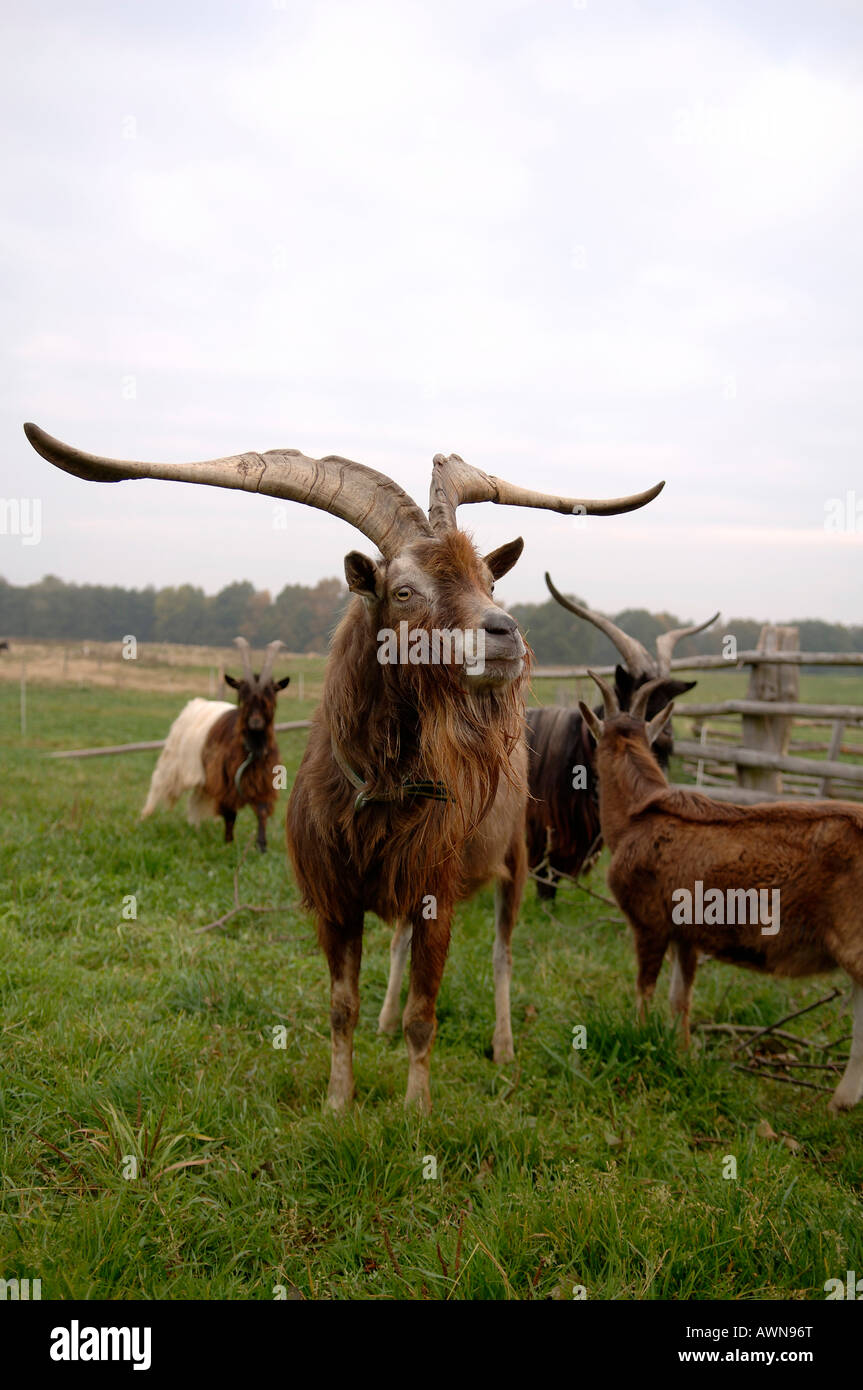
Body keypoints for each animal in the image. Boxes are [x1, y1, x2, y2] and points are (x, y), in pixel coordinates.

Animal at [141, 637, 289, 850]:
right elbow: (230, 813)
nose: (256, 722)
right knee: (159, 781)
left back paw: (194, 827)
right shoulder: (225, 782)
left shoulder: (264, 780)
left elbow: (261, 811)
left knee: (195, 798)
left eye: (271, 695)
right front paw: (228, 843)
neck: (251, 750)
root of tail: (196, 703)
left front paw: (262, 846)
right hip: (174, 760)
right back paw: (144, 817)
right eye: (242, 696)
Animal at [579, 671, 863, 1113]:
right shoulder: (687, 934)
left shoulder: (649, 922)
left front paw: (638, 1037)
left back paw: (840, 1104)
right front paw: (682, 1054)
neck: (638, 813)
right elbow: (681, 997)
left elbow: (645, 988)